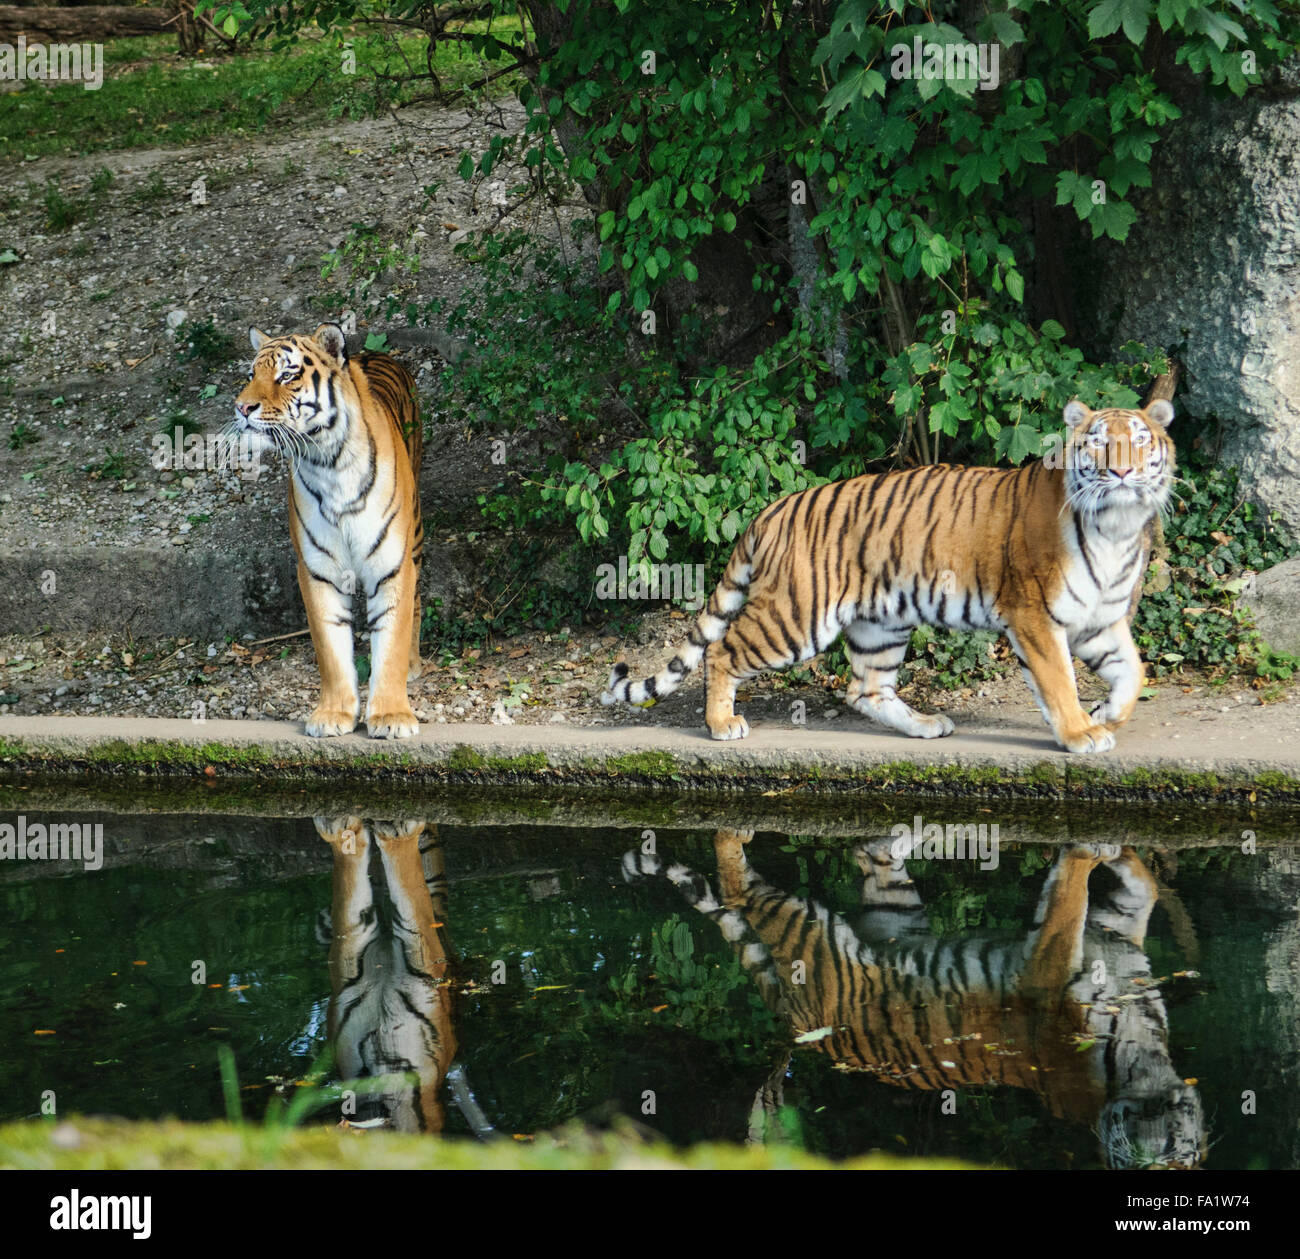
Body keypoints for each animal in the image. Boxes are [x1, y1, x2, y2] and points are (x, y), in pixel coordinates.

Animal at [235, 324, 424, 739]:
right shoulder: (318, 569)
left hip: (416, 533)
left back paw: (415, 664)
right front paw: (333, 714)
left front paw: (392, 716)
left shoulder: (392, 563)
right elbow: (330, 645)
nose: (241, 408)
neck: (328, 460)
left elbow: (392, 637)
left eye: (286, 375)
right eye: (251, 374)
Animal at [603, 399, 1175, 753]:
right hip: (796, 617)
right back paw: (723, 724)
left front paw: (1105, 713)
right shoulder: (1035, 615)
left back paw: (925, 725)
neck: (1116, 529)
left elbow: (1134, 673)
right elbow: (1058, 682)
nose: (1123, 471)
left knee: (865, 689)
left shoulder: (1099, 618)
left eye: (1141, 441)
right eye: (1099, 442)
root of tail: (773, 508)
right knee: (723, 651)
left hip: (881, 622)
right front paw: (1081, 731)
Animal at [622, 830, 1206, 1169]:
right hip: (809, 931)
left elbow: (1145, 884)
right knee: (738, 888)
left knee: (865, 854)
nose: (1149, 1161)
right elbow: (1074, 895)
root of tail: (803, 1030)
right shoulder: (1054, 965)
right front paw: (1088, 846)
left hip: (893, 912)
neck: (1143, 1059)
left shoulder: (1119, 932)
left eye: (1180, 1158)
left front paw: (1116, 844)